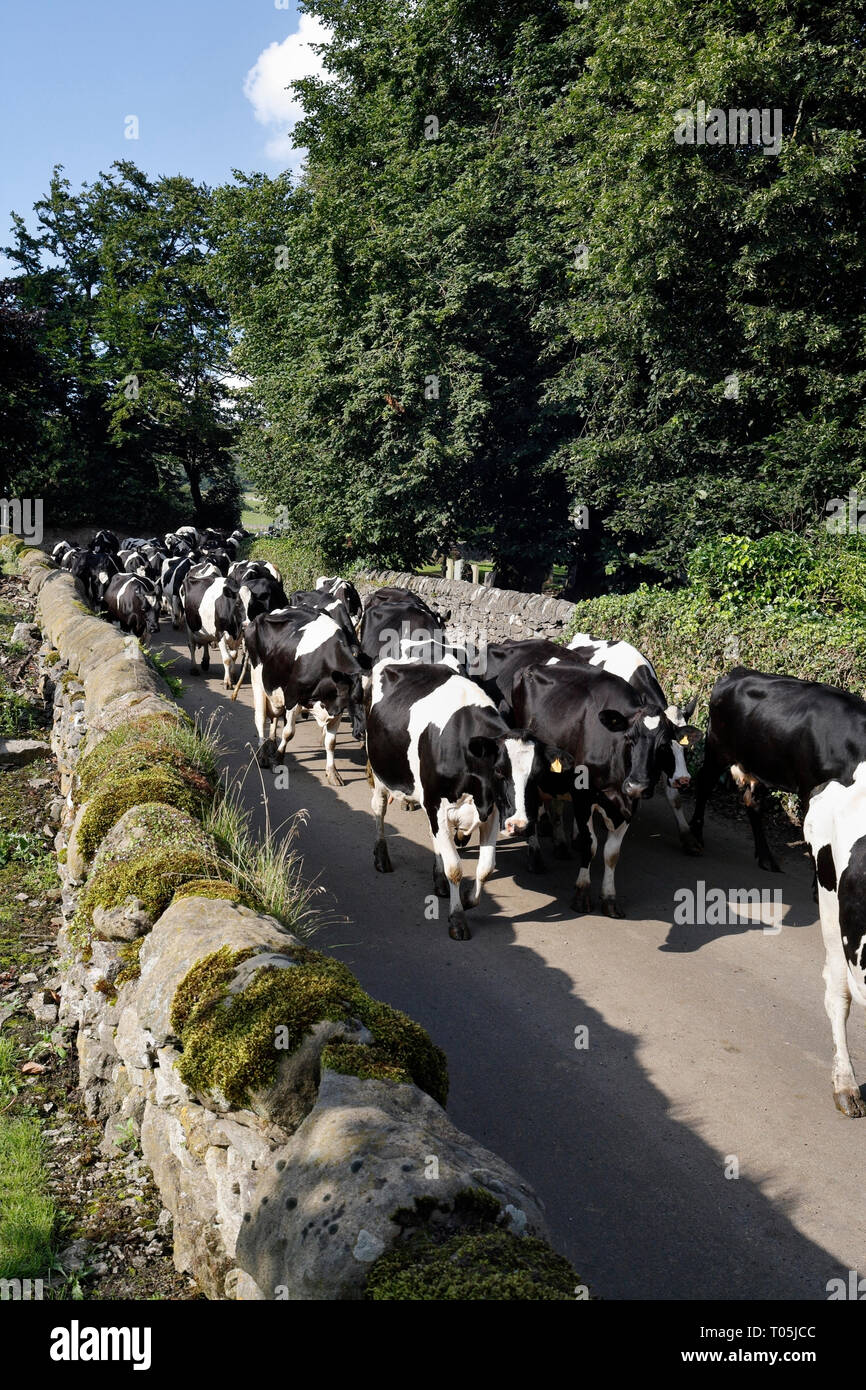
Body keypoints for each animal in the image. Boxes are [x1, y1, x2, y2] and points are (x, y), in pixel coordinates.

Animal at [243, 608, 371, 786]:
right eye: (356, 698)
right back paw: (262, 755)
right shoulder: (292, 698)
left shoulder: (337, 707)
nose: (363, 734)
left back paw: (271, 745)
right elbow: (288, 733)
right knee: (261, 719)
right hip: (257, 679)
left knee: (274, 717)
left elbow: (331, 742)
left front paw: (332, 773)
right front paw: (277, 761)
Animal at [366, 660, 570, 940]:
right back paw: (381, 858)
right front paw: (457, 919)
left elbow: (485, 867)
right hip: (380, 772)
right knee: (379, 809)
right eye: (499, 771)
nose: (519, 826)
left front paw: (465, 898)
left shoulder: (493, 811)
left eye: (537, 774)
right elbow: (455, 867)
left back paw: (439, 882)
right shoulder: (438, 805)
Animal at [510, 662, 680, 917]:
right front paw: (581, 894)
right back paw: (536, 857)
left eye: (664, 745)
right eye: (629, 738)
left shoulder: (629, 804)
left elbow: (611, 853)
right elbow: (590, 846)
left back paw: (560, 845)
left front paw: (609, 898)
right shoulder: (583, 797)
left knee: (554, 805)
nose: (638, 785)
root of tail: (531, 666)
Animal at [689, 667, 866, 871]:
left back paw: (766, 858)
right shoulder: (809, 792)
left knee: (752, 802)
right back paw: (695, 838)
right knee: (704, 784)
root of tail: (737, 672)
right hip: (717, 749)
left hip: (759, 763)